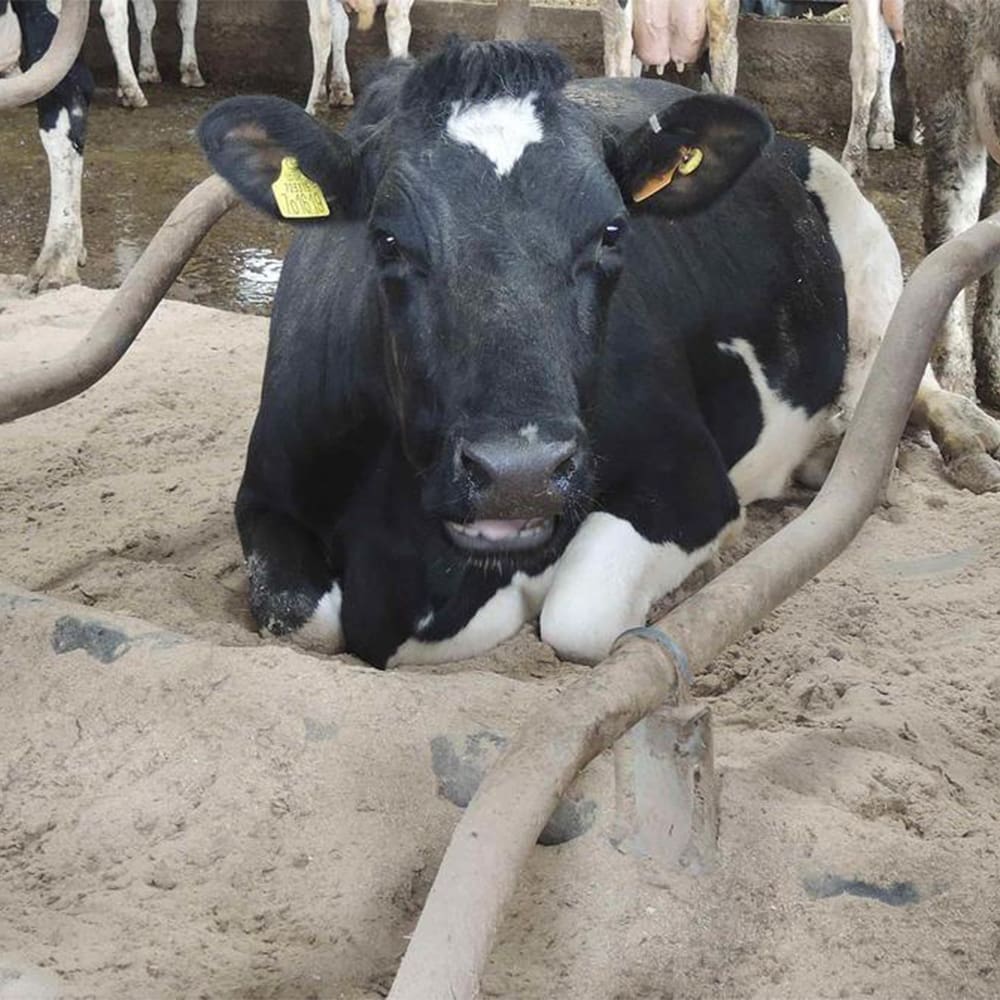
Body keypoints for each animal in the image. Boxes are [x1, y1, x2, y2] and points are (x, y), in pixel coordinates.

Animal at [197, 38, 1000, 669]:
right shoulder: (264, 494)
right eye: (386, 240)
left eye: (612, 233)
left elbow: (576, 617)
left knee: (904, 385)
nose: (518, 474)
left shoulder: (692, 484)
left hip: (874, 268)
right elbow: (303, 619)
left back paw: (959, 445)